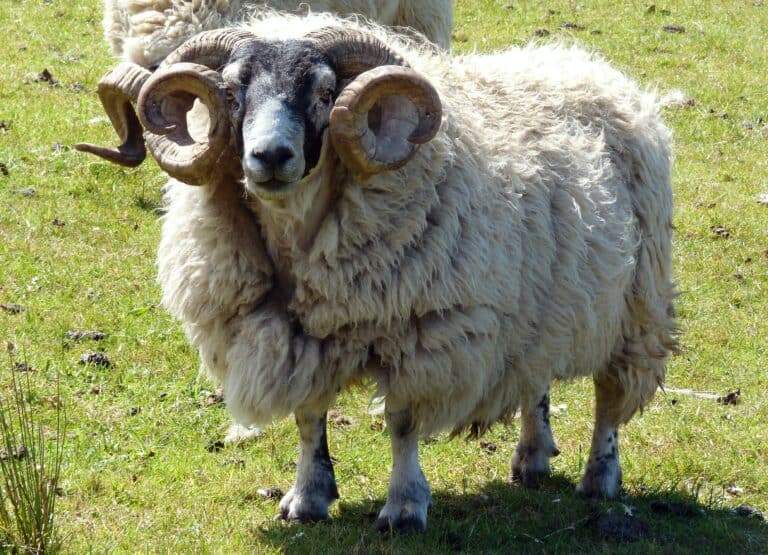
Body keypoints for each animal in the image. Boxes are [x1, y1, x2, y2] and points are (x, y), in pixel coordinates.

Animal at [76, 11, 678, 533]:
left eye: (325, 92)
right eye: (232, 92)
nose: (269, 157)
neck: (299, 237)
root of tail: (584, 64)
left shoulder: (420, 335)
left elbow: (403, 422)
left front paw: (404, 507)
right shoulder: (301, 335)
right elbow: (308, 418)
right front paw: (307, 497)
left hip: (637, 301)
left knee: (609, 399)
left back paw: (599, 479)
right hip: (545, 302)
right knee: (537, 377)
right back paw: (531, 460)